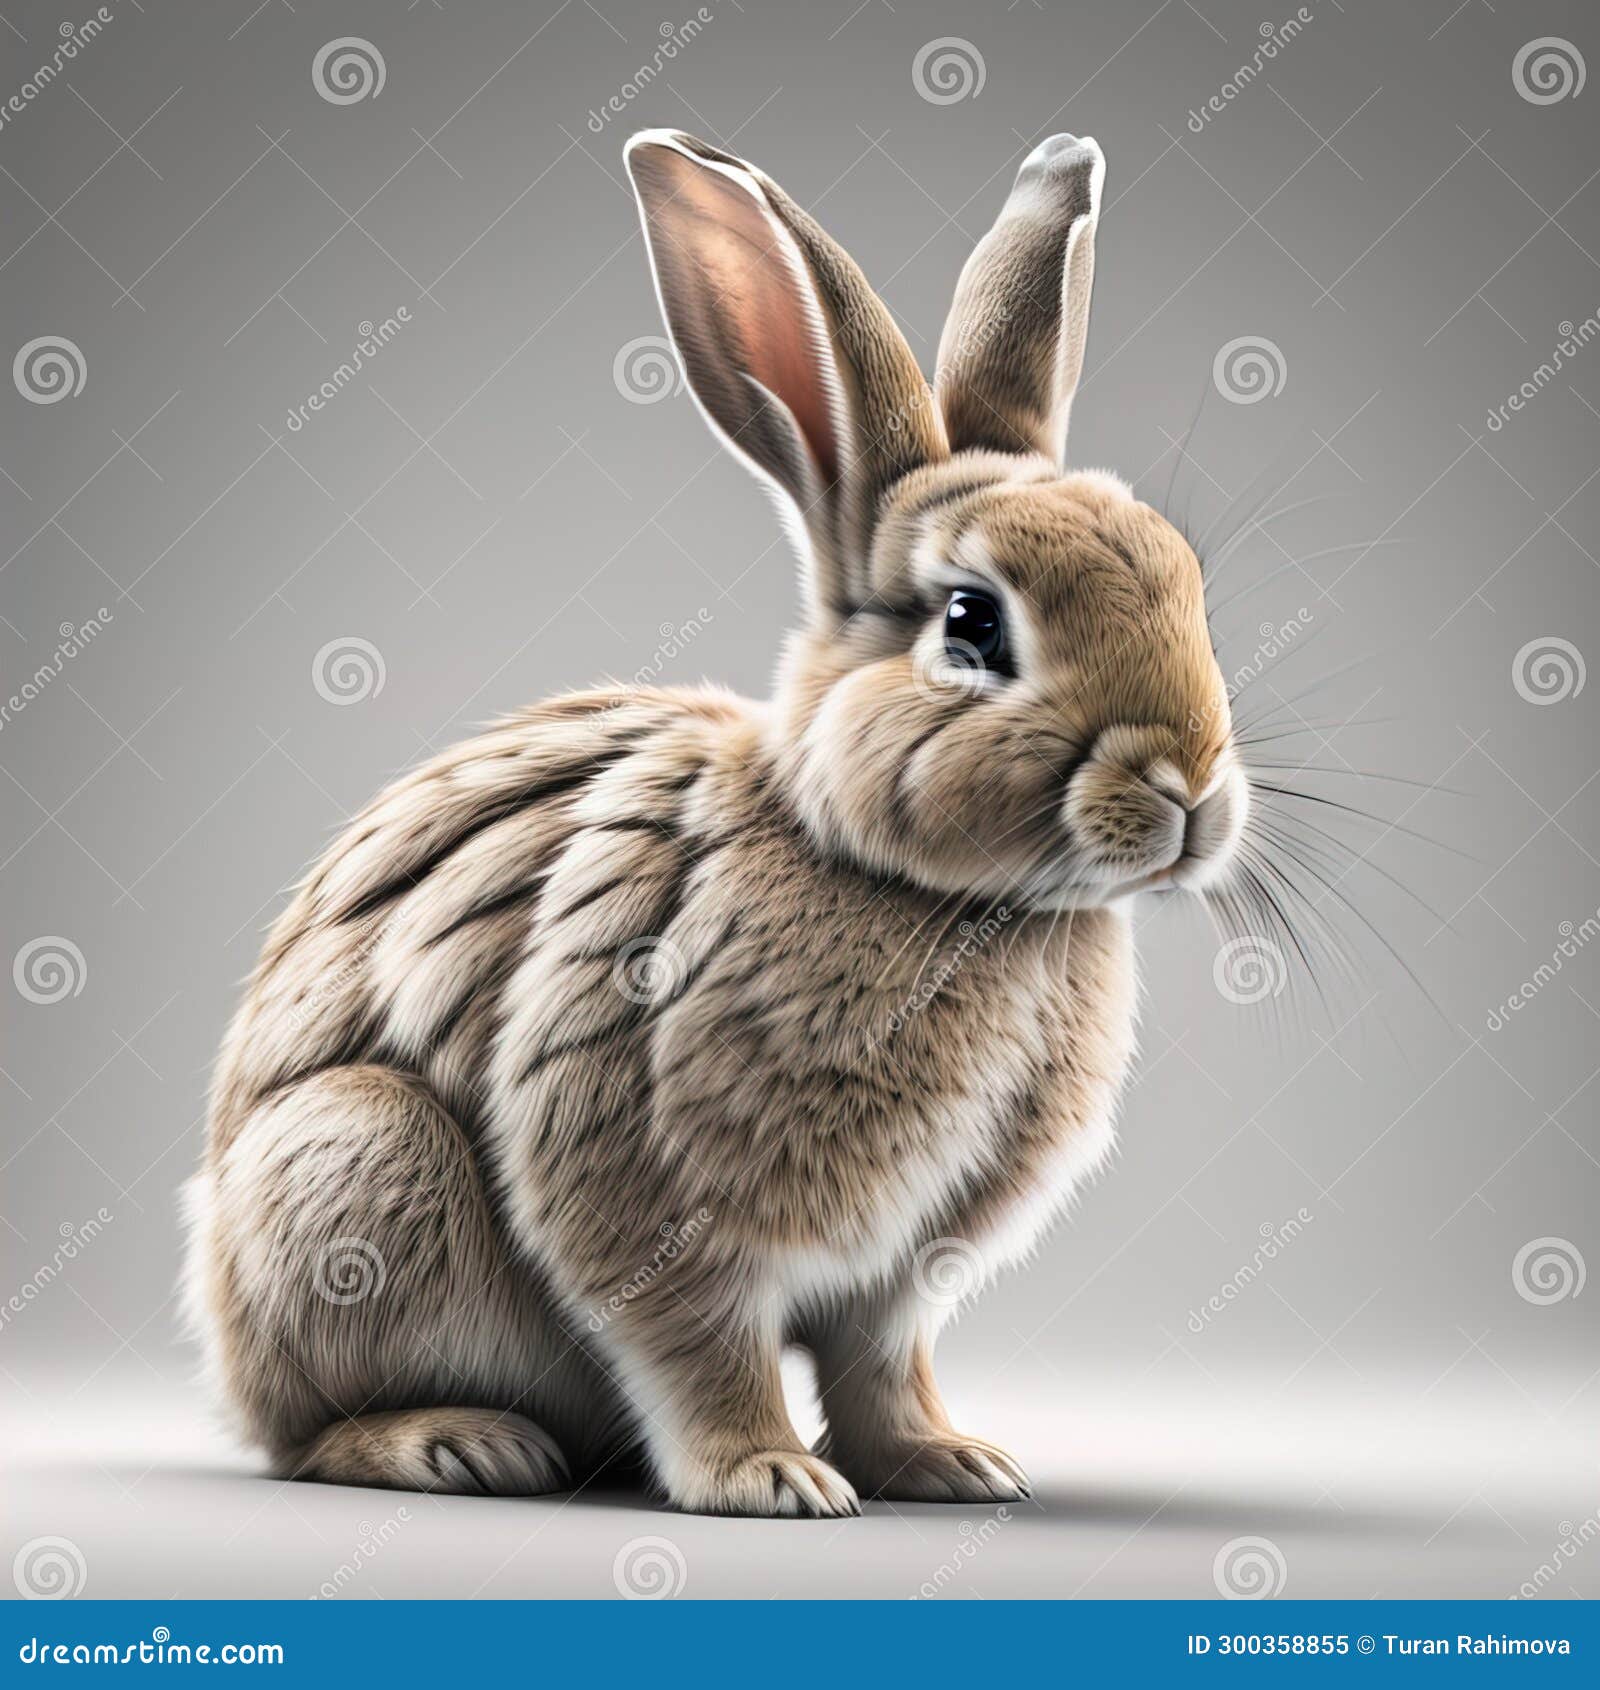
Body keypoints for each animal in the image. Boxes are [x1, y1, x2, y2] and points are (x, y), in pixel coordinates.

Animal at [182, 128, 1248, 1518]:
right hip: (356, 1153)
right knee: (304, 1431)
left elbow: (880, 1364)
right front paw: (773, 1479)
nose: (1190, 789)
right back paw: (460, 1444)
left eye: (1185, 581)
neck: (914, 884)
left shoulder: (896, 1276)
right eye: (972, 623)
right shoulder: (641, 1179)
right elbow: (698, 1345)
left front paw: (950, 1465)